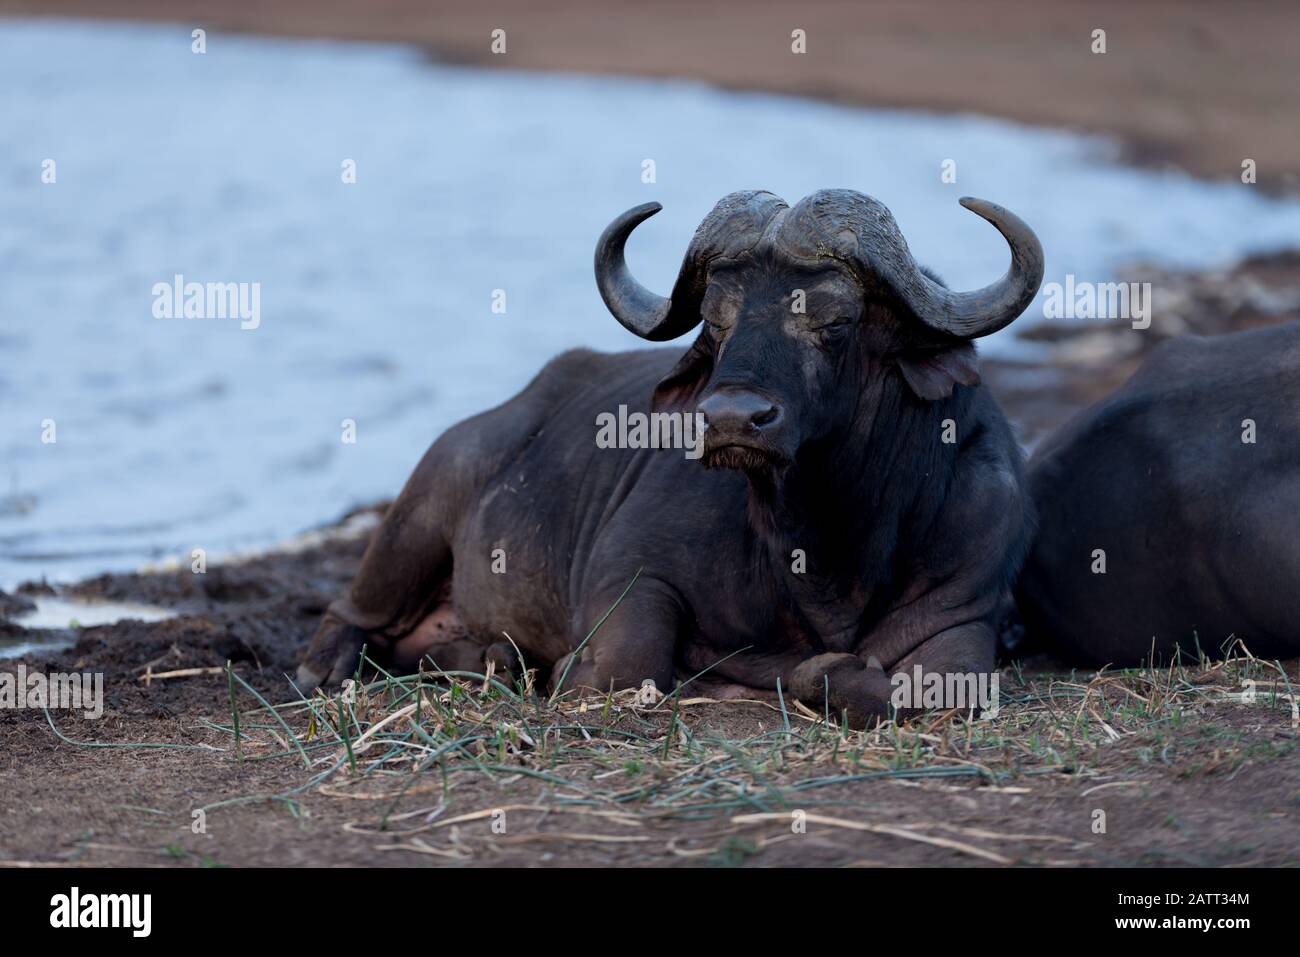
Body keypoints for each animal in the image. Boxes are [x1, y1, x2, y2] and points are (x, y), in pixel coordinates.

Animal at [297, 189, 1044, 725]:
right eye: (717, 320)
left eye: (835, 320)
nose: (732, 418)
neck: (825, 547)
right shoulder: (629, 579)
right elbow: (633, 668)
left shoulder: (962, 617)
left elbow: (923, 689)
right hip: (423, 508)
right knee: (350, 613)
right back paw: (329, 669)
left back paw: (492, 657)